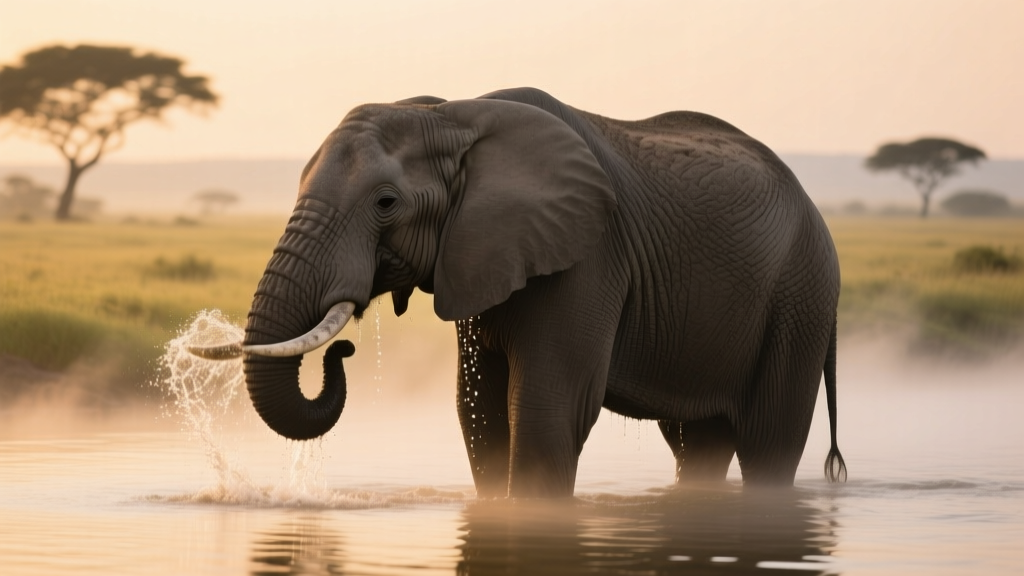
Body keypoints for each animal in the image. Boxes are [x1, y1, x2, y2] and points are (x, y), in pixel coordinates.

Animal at [189, 87, 847, 497]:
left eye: (386, 203)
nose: (342, 350)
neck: (454, 113)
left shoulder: (586, 257)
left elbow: (547, 411)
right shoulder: (476, 256)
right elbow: (478, 413)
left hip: (802, 295)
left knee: (768, 441)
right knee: (698, 443)